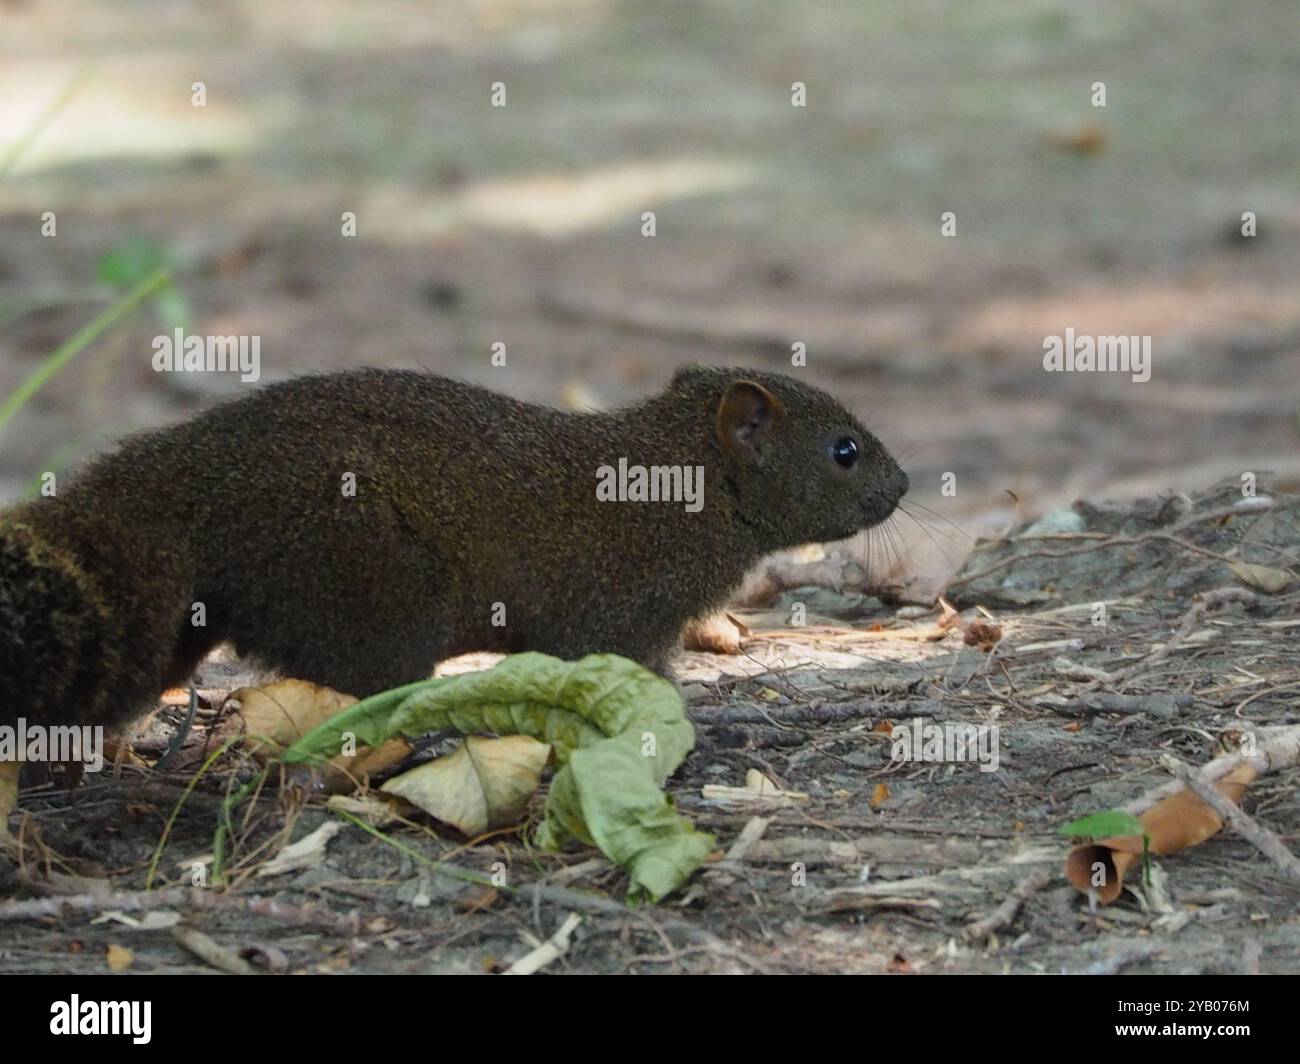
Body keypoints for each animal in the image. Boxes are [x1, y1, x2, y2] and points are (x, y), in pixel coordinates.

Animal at [0, 364, 907, 739]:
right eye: (845, 450)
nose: (902, 485)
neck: (682, 485)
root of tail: (171, 478)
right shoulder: (617, 608)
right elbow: (629, 674)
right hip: (369, 588)